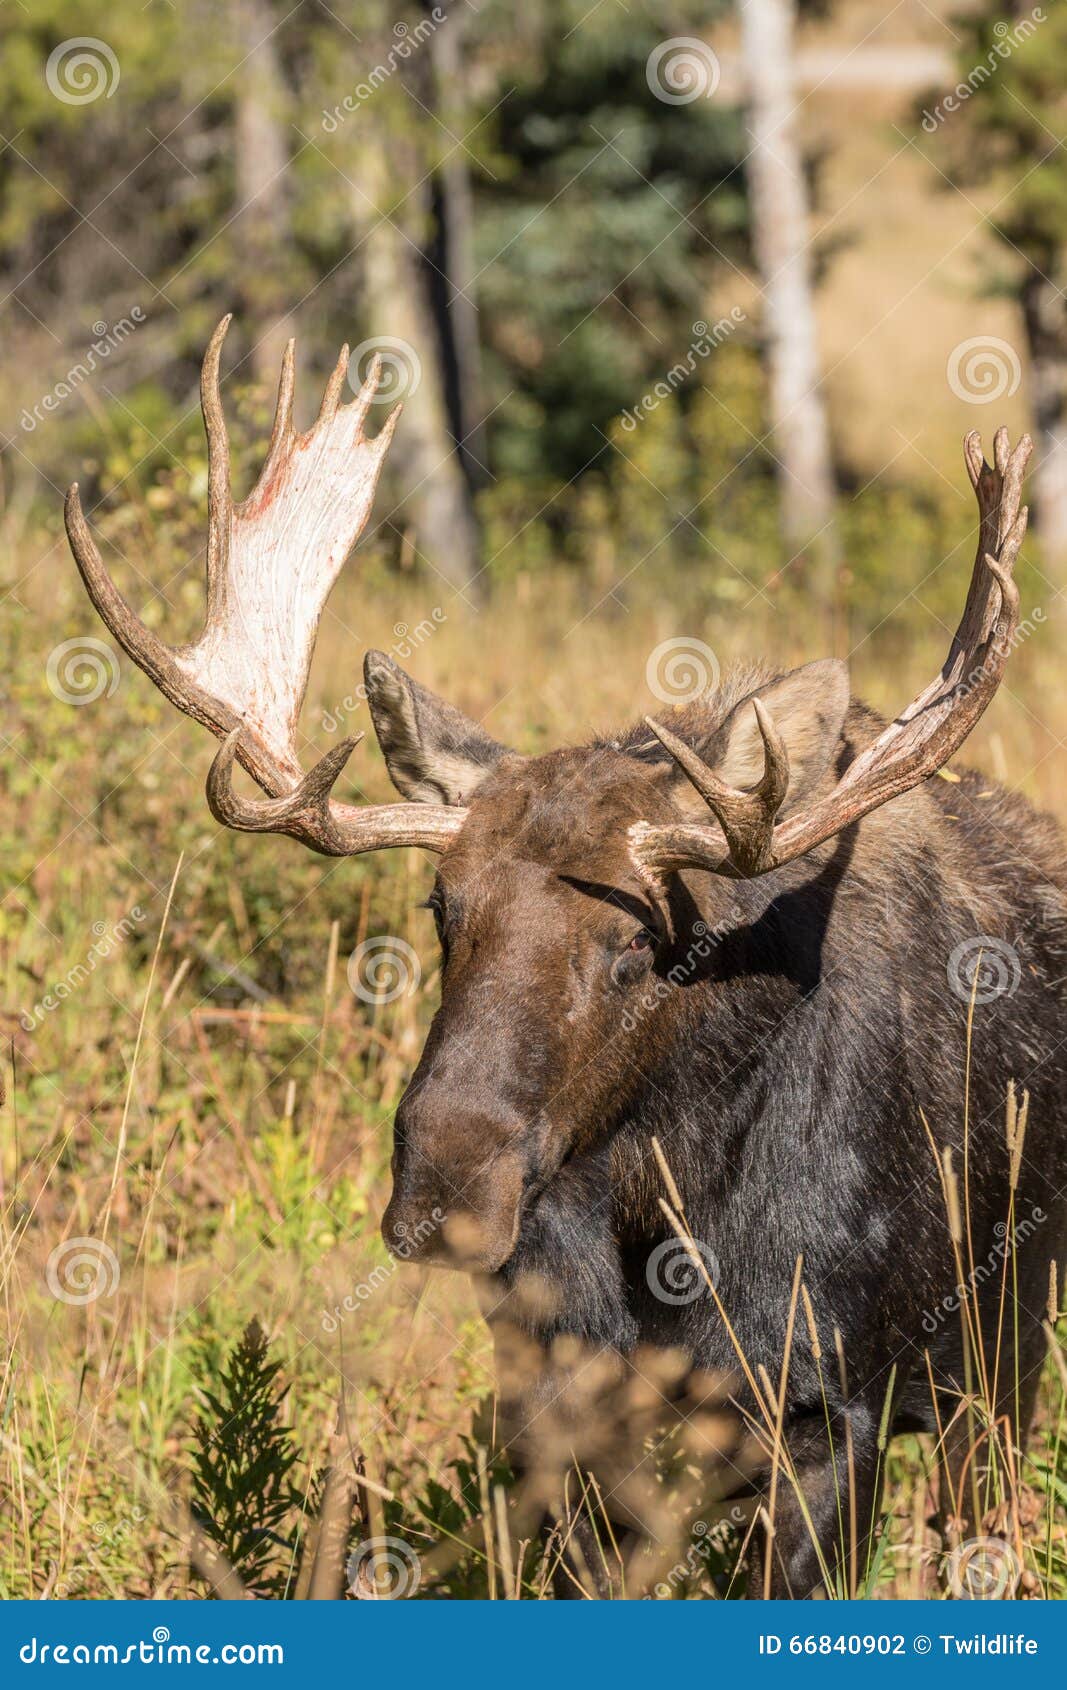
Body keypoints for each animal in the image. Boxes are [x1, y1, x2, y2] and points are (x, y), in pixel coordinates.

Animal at [67, 317, 1067, 1598]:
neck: (661, 1229)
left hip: (998, 1358)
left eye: (650, 940)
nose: (446, 1180)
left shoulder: (832, 1409)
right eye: (442, 905)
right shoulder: (557, 1407)